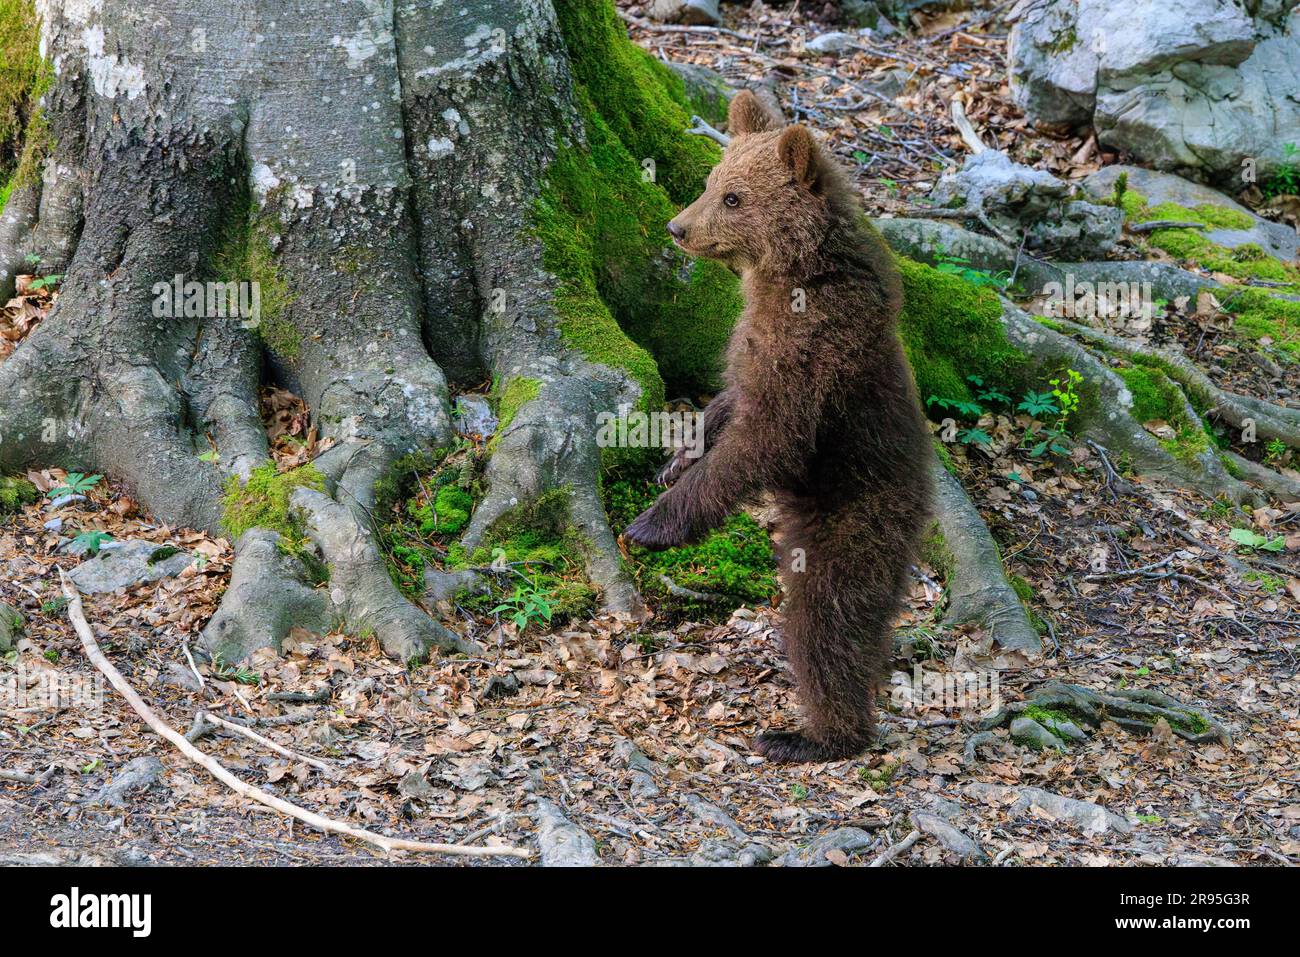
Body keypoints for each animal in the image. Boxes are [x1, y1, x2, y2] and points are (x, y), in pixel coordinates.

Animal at [622, 90, 933, 763]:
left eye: (735, 197)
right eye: (713, 181)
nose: (677, 227)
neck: (795, 273)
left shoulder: (812, 353)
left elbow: (764, 440)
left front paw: (653, 523)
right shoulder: (751, 343)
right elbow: (729, 399)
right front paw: (675, 457)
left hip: (858, 517)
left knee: (828, 621)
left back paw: (812, 735)